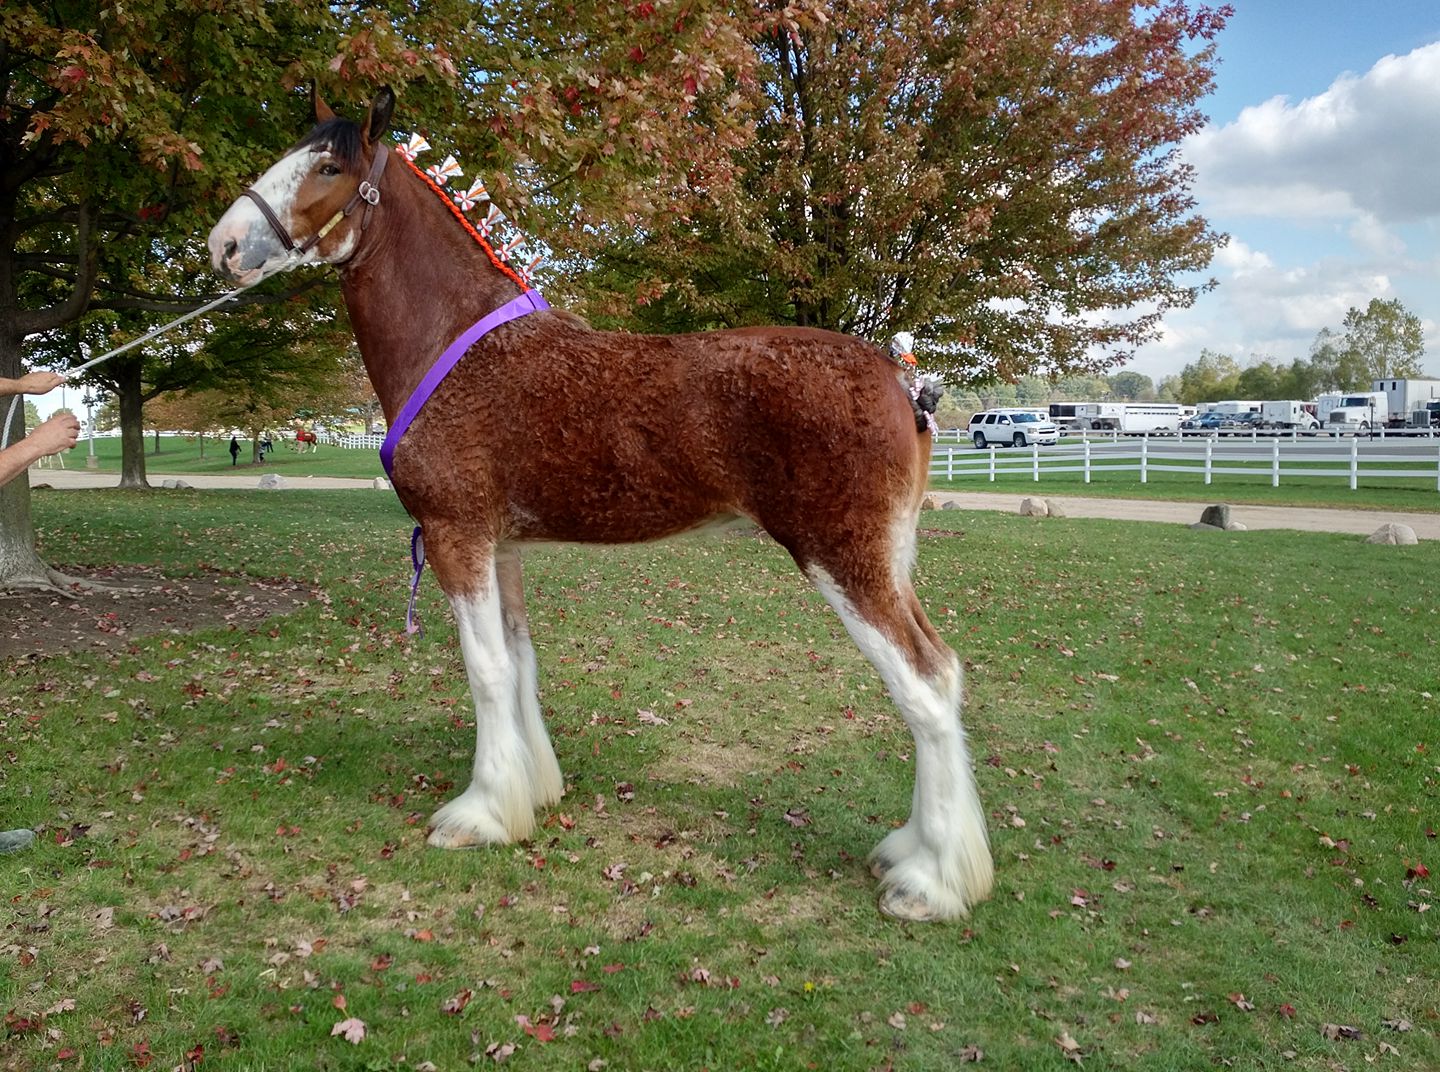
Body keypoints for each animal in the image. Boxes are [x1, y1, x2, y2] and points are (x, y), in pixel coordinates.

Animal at [206, 88, 993, 922]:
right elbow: (518, 659)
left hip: (843, 560)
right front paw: (531, 793)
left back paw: (931, 884)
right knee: (941, 672)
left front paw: (479, 814)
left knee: (923, 686)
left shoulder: (455, 534)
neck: (457, 342)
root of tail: (899, 379)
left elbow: (484, 669)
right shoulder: (501, 545)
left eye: (328, 166)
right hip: (885, 563)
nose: (224, 245)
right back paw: (913, 852)